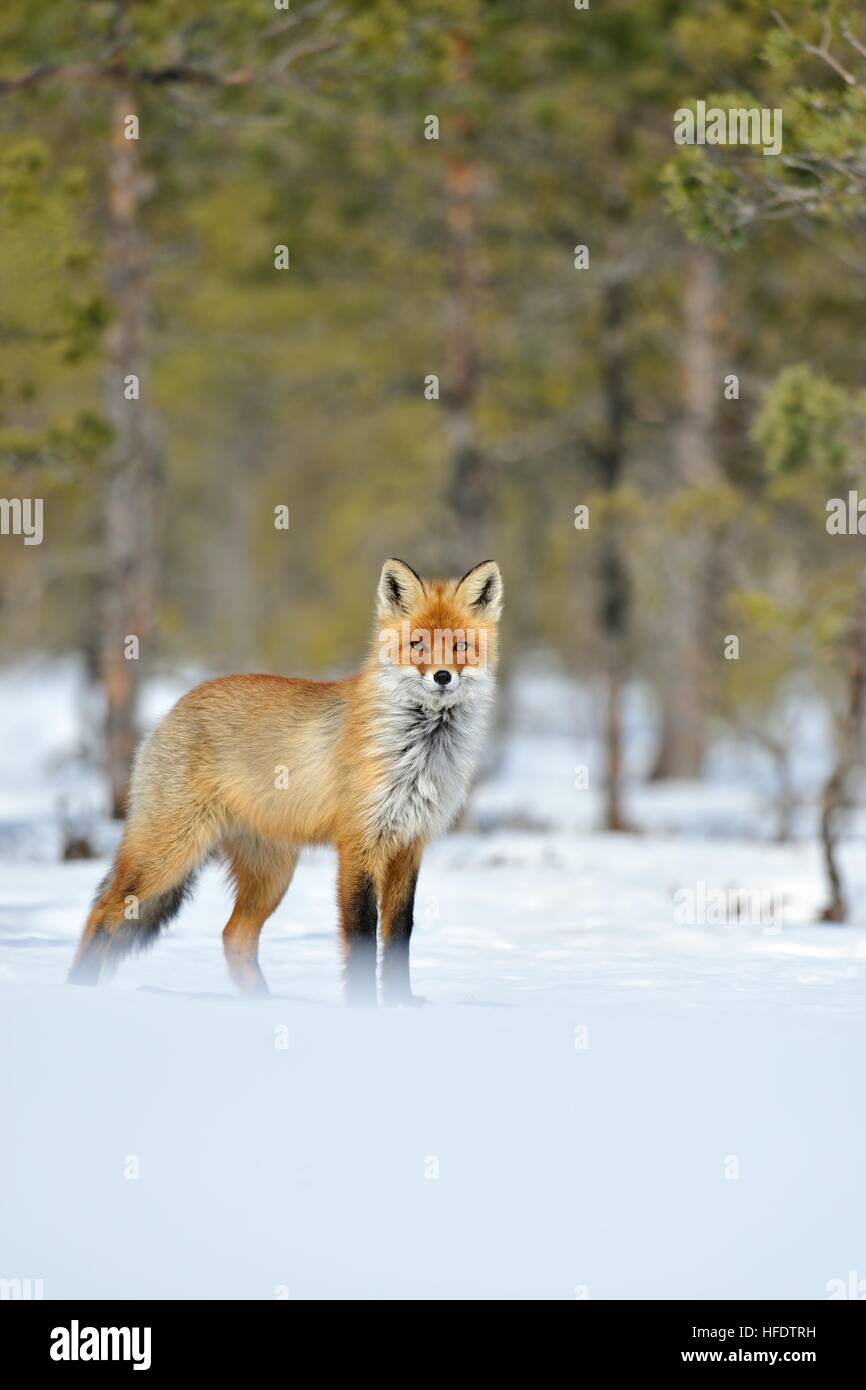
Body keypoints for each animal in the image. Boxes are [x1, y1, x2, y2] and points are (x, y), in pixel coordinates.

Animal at [69, 558, 503, 1005]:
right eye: (418, 644)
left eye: (460, 646)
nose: (442, 676)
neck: (418, 751)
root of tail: (173, 708)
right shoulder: (359, 844)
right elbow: (362, 933)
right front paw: (363, 1005)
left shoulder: (409, 847)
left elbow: (400, 933)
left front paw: (400, 1003)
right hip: (167, 855)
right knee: (102, 911)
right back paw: (77, 991)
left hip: (271, 875)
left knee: (234, 936)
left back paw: (265, 1004)